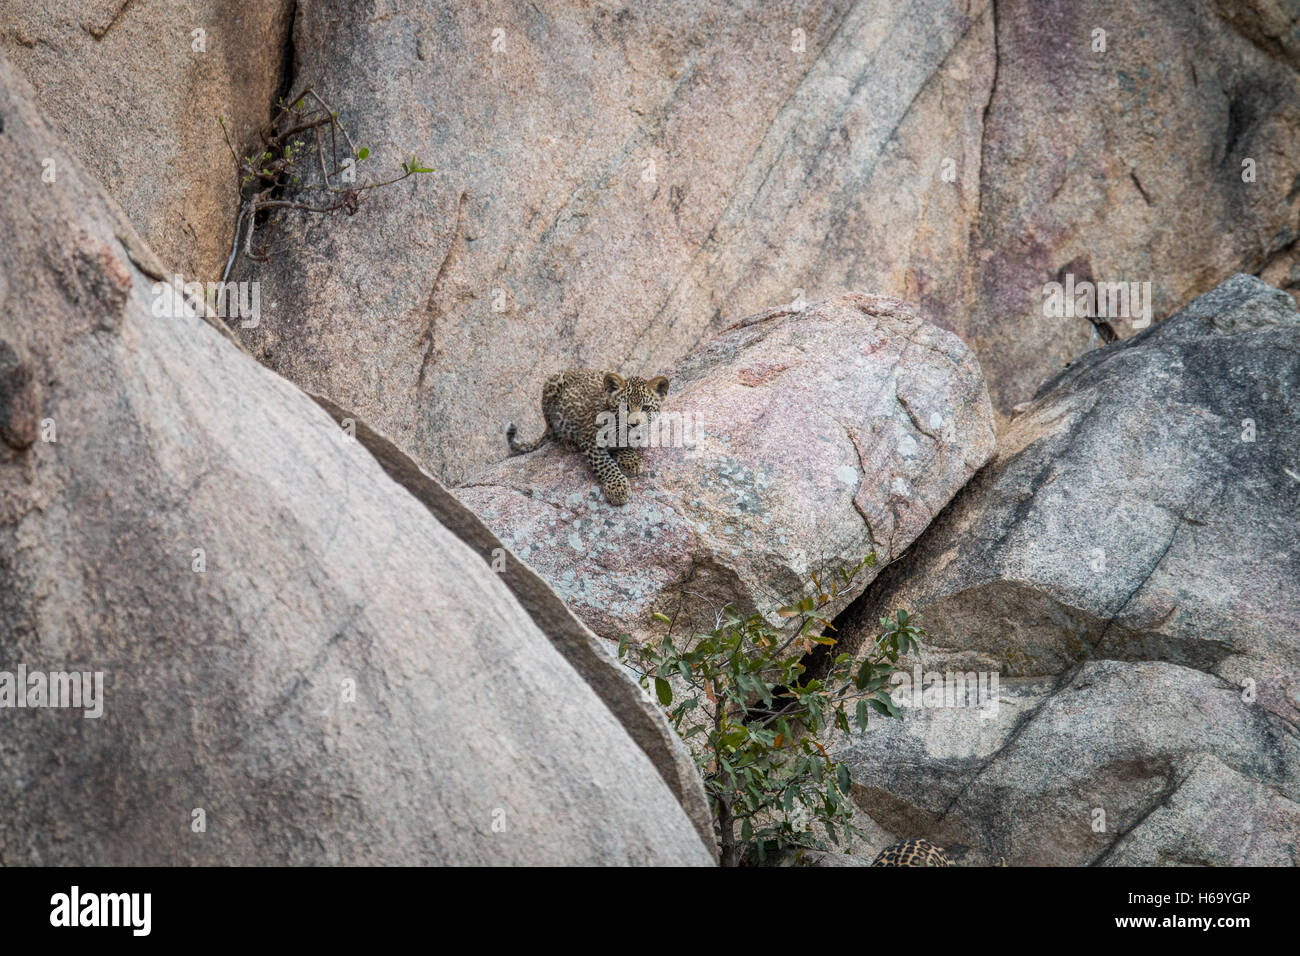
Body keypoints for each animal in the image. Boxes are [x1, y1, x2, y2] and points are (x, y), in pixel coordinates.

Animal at [506, 369, 670, 506]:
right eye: (625, 407)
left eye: (645, 408)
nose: (634, 424)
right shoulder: (590, 440)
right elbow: (606, 465)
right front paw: (618, 489)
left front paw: (630, 460)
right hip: (552, 389)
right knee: (554, 429)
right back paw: (569, 441)